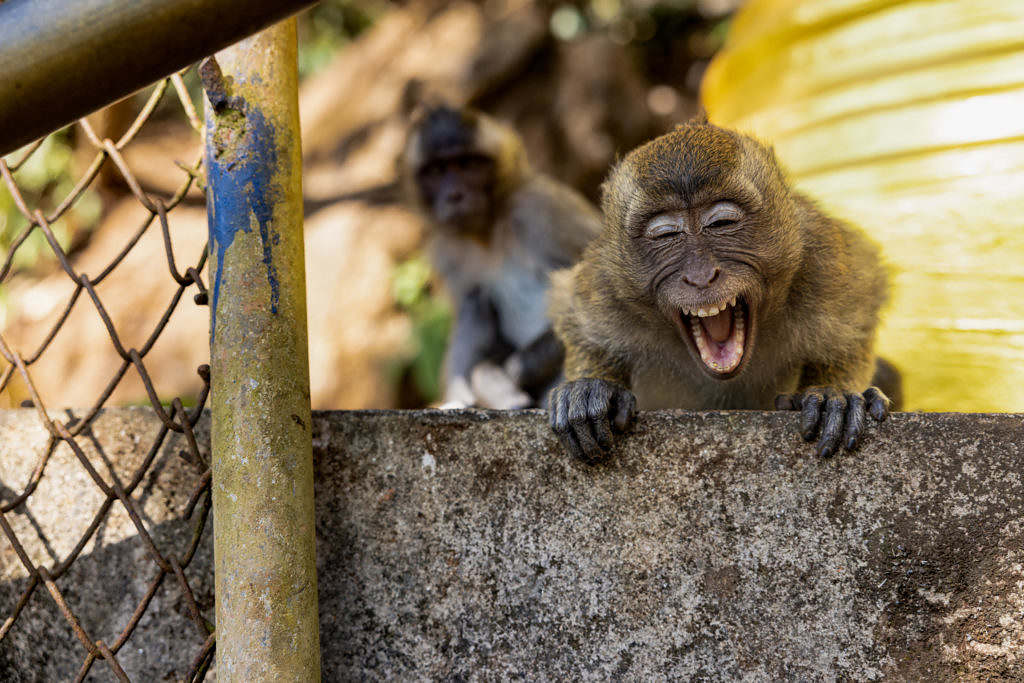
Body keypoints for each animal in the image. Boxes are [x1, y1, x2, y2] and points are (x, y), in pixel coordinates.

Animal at [400, 103, 602, 408]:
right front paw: (481, 383)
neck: (488, 231)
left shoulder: (543, 210)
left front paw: (504, 375)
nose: (455, 195)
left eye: (468, 164)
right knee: (475, 303)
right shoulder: (447, 248)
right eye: (437, 170)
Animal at [547, 117, 899, 461]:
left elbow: (861, 306)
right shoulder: (607, 281)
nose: (701, 276)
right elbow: (578, 323)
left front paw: (831, 392)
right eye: (666, 234)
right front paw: (592, 388)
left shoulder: (822, 259)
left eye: (721, 224)